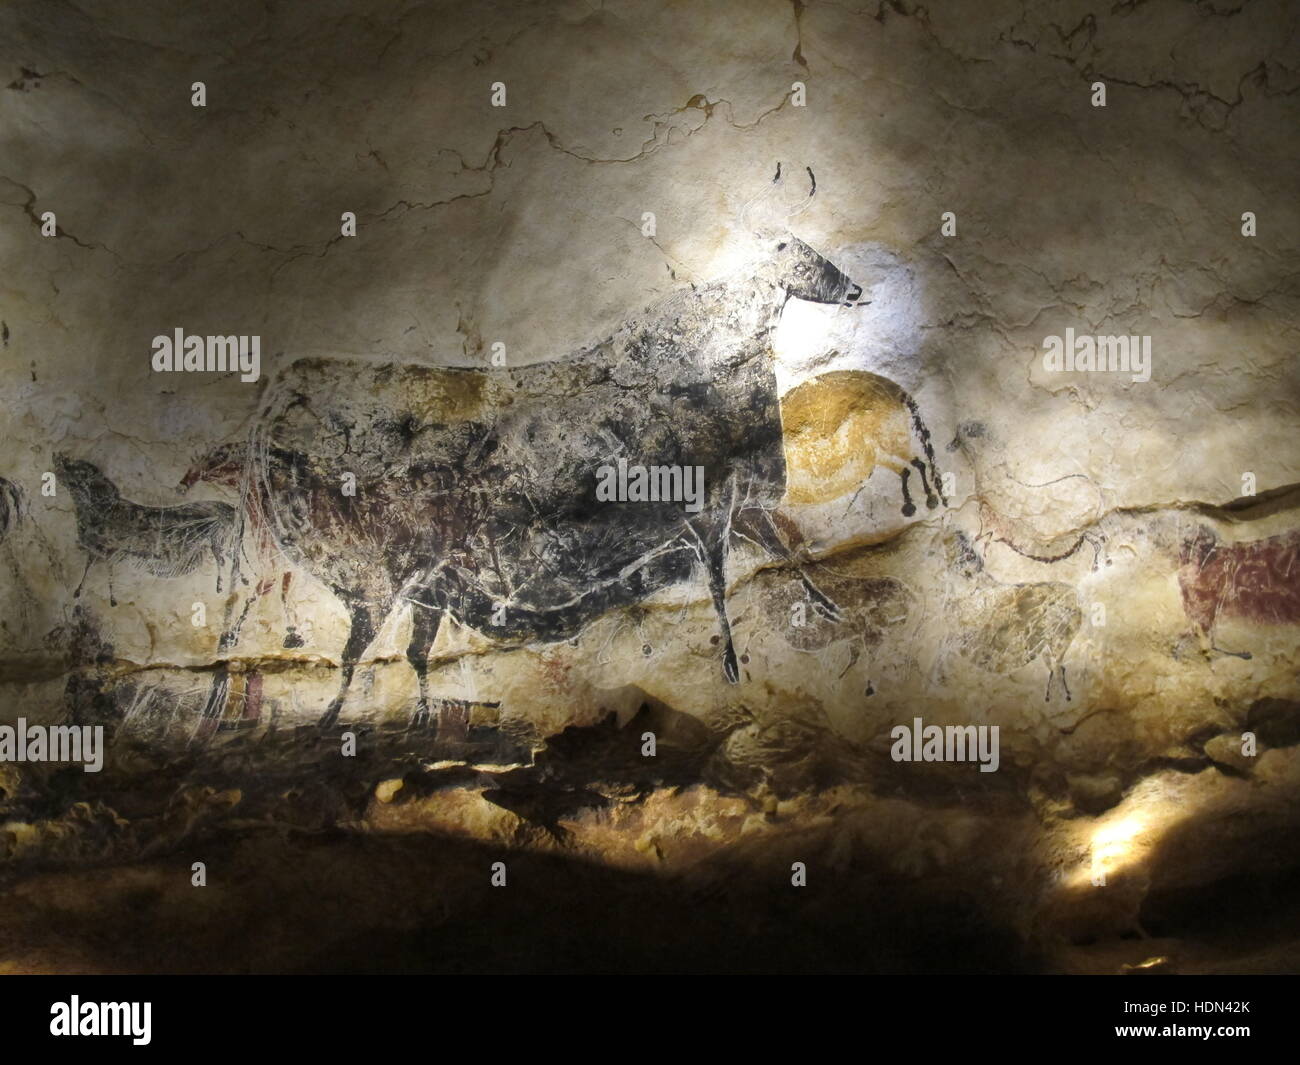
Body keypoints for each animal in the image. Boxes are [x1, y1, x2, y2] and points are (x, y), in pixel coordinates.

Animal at [224, 166, 867, 731]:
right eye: (798, 253)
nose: (856, 287)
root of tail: (276, 396)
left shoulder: (741, 501)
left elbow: (784, 551)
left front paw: (829, 607)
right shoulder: (707, 510)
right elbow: (721, 581)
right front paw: (733, 666)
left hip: (431, 584)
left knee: (411, 650)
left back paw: (412, 718)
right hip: (383, 576)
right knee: (358, 650)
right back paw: (331, 724)